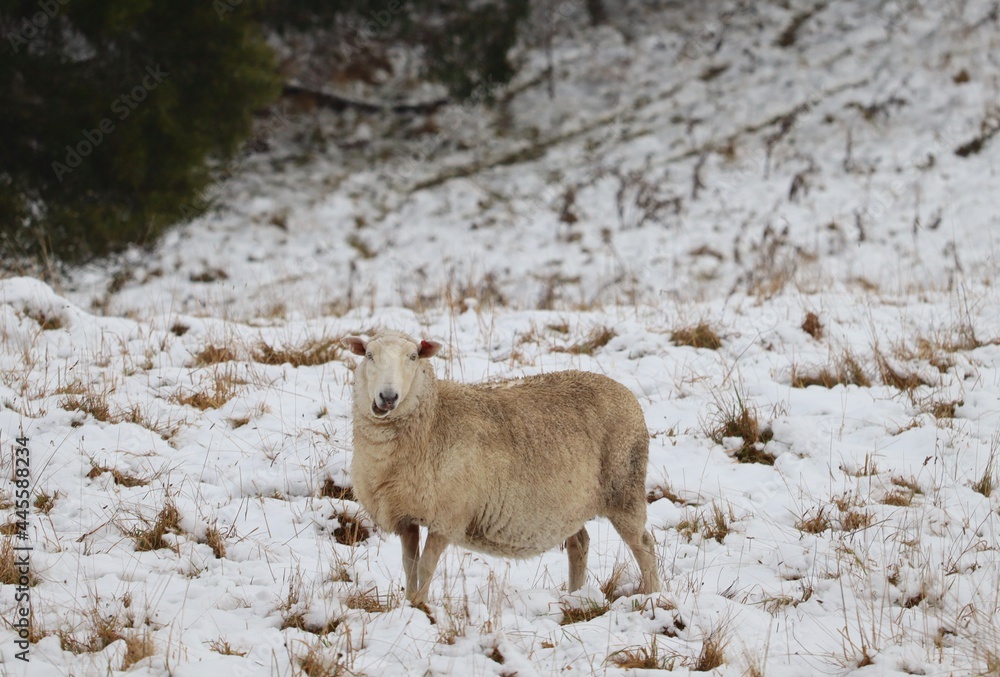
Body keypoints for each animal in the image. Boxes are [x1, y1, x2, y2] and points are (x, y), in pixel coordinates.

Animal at [341, 329, 661, 603]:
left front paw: (420, 608)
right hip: (572, 504)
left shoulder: (447, 516)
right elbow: (409, 567)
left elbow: (425, 568)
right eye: (369, 355)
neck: (434, 419)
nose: (388, 397)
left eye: (412, 357)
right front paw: (408, 604)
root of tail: (626, 392)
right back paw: (574, 597)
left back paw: (652, 596)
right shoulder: (406, 515)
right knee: (579, 544)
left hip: (625, 485)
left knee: (644, 545)